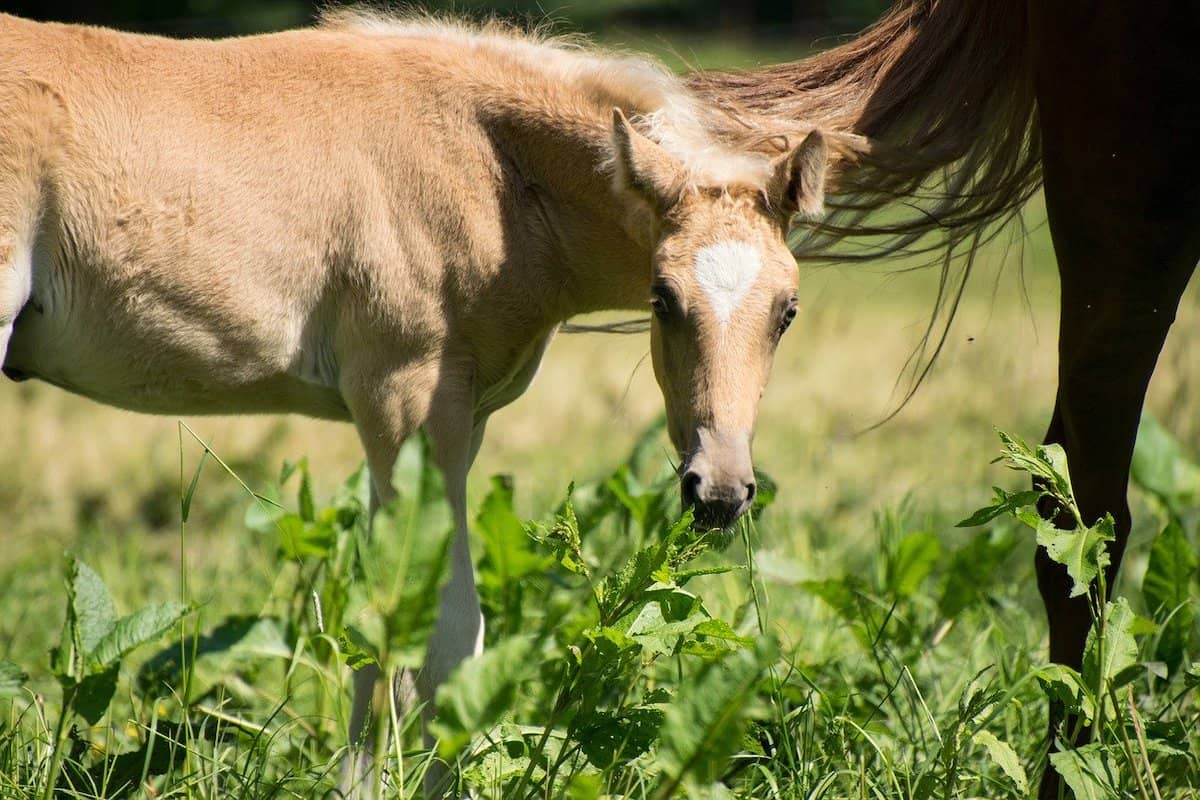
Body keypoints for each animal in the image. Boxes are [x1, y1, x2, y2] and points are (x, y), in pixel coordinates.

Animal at [0, 8, 838, 794]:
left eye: (789, 310)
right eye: (663, 299)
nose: (719, 491)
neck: (490, 170)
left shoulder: (451, 423)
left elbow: (391, 631)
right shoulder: (406, 401)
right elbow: (438, 633)